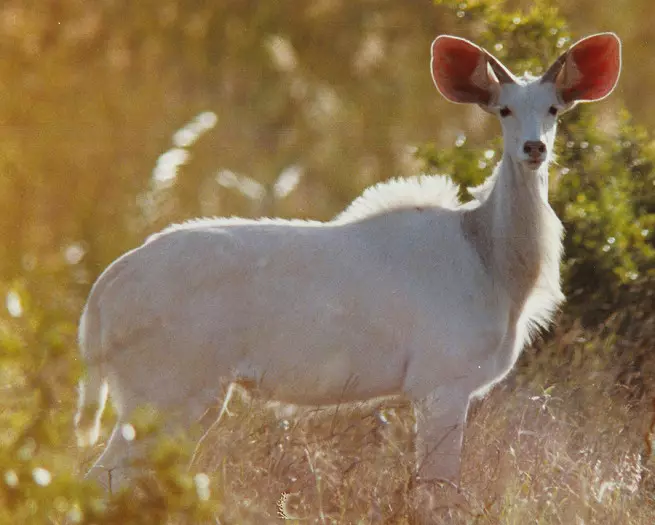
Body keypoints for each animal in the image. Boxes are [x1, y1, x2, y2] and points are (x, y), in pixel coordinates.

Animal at [75, 32, 620, 492]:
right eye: (504, 109)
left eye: (554, 109)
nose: (534, 147)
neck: (488, 256)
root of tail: (105, 291)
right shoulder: (441, 384)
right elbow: (438, 492)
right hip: (167, 395)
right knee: (101, 477)